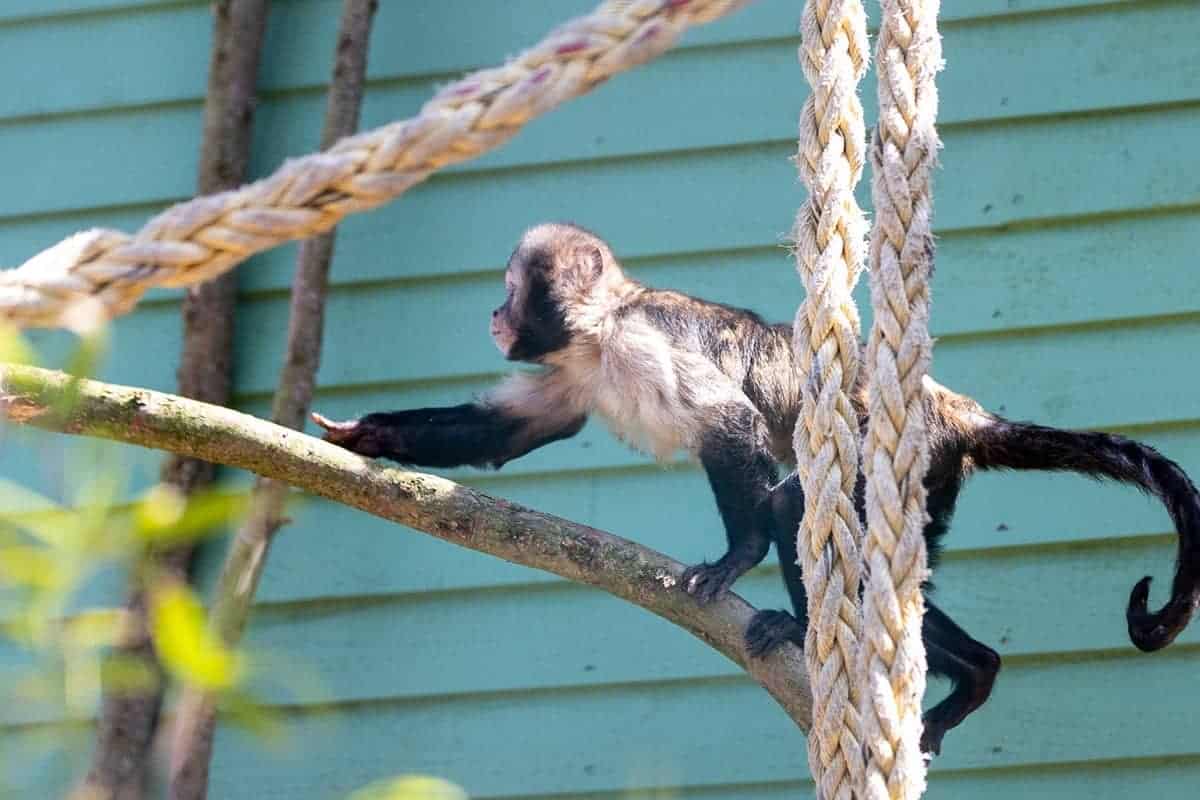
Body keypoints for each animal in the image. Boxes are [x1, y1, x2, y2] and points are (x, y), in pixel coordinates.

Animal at [312, 222, 1200, 755]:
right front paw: (364, 437)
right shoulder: (573, 368)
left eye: (510, 291)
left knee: (798, 509)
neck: (601, 330)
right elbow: (508, 437)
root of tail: (950, 410)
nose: (493, 316)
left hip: (912, 465)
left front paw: (735, 559)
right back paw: (971, 670)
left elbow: (730, 424)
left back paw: (859, 642)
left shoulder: (637, 341)